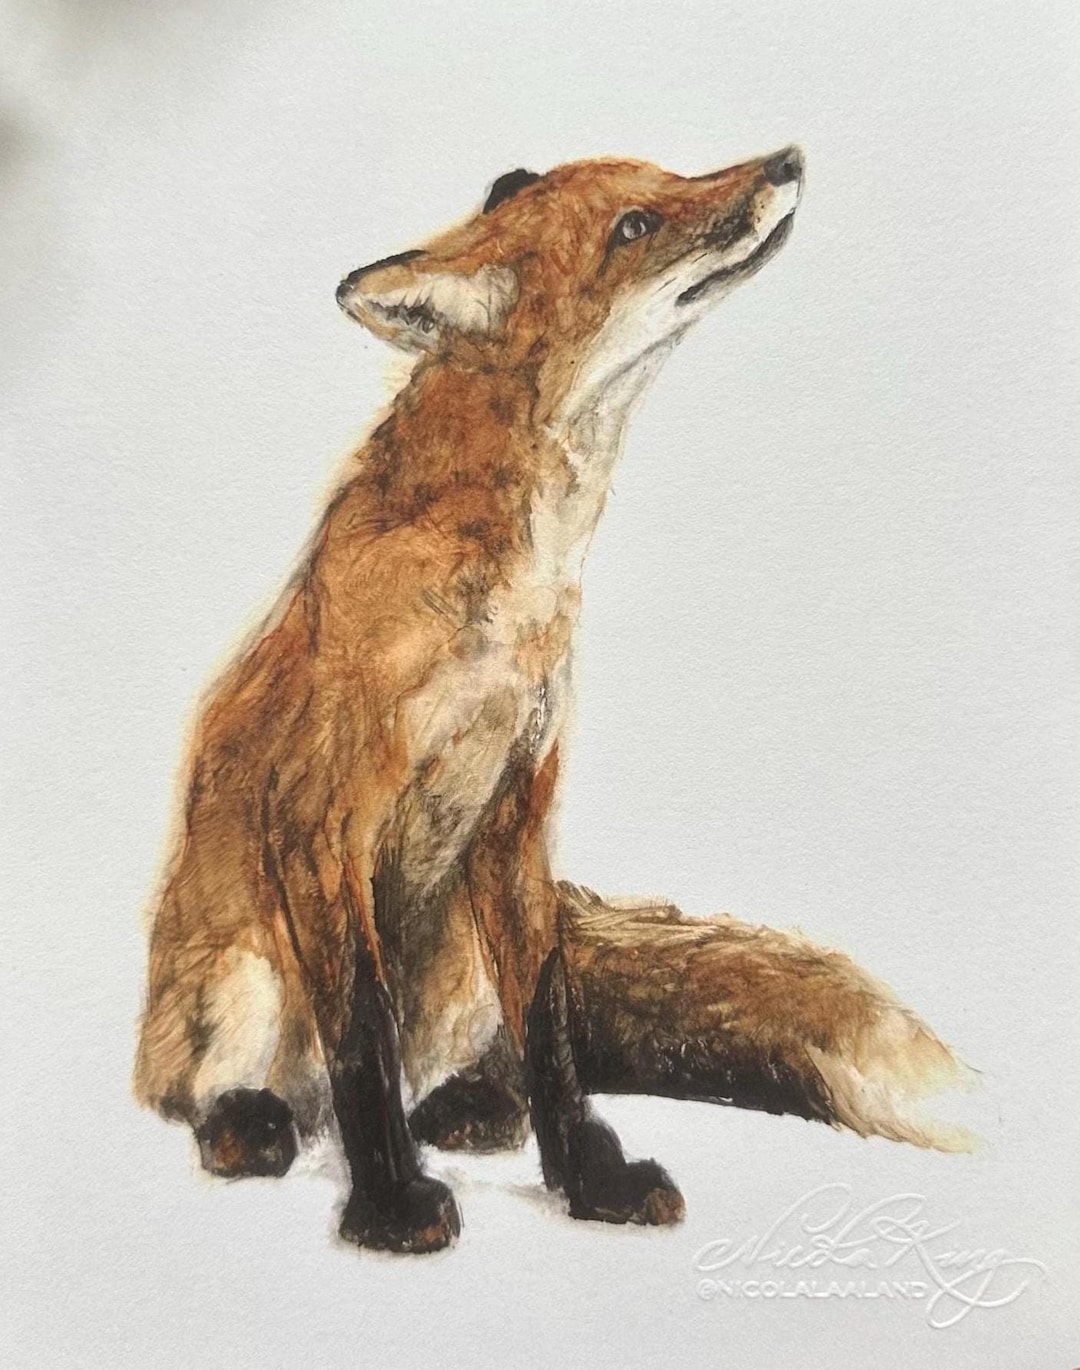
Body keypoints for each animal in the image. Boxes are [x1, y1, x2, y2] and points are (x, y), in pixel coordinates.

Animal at [135, 147, 972, 1255]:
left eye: (667, 176)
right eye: (633, 226)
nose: (787, 160)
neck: (512, 602)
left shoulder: (519, 805)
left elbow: (554, 1030)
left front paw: (589, 1178)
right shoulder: (324, 816)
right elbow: (362, 1034)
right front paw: (389, 1205)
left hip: (458, 970)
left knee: (459, 1071)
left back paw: (470, 1109)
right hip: (239, 977)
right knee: (226, 1090)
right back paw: (253, 1124)